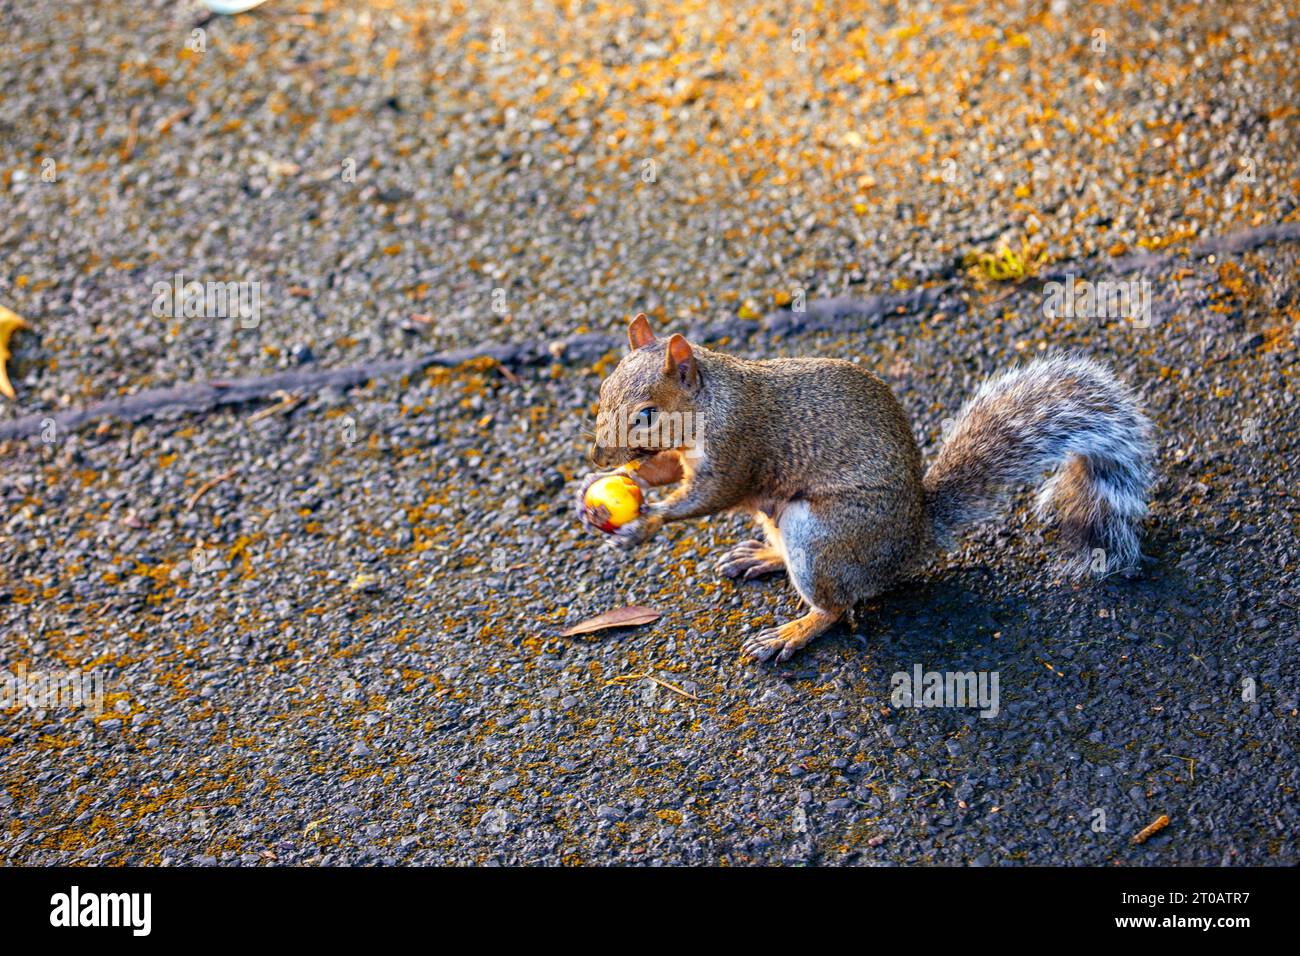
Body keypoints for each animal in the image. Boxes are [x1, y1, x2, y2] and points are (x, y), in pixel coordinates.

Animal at [577, 312, 1154, 663]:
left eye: (647, 415)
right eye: (602, 389)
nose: (598, 455)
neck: (709, 404)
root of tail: (911, 543)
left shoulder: (738, 445)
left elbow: (707, 496)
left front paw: (644, 522)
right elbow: (668, 474)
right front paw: (613, 484)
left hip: (824, 535)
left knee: (835, 606)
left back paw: (791, 633)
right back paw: (762, 555)